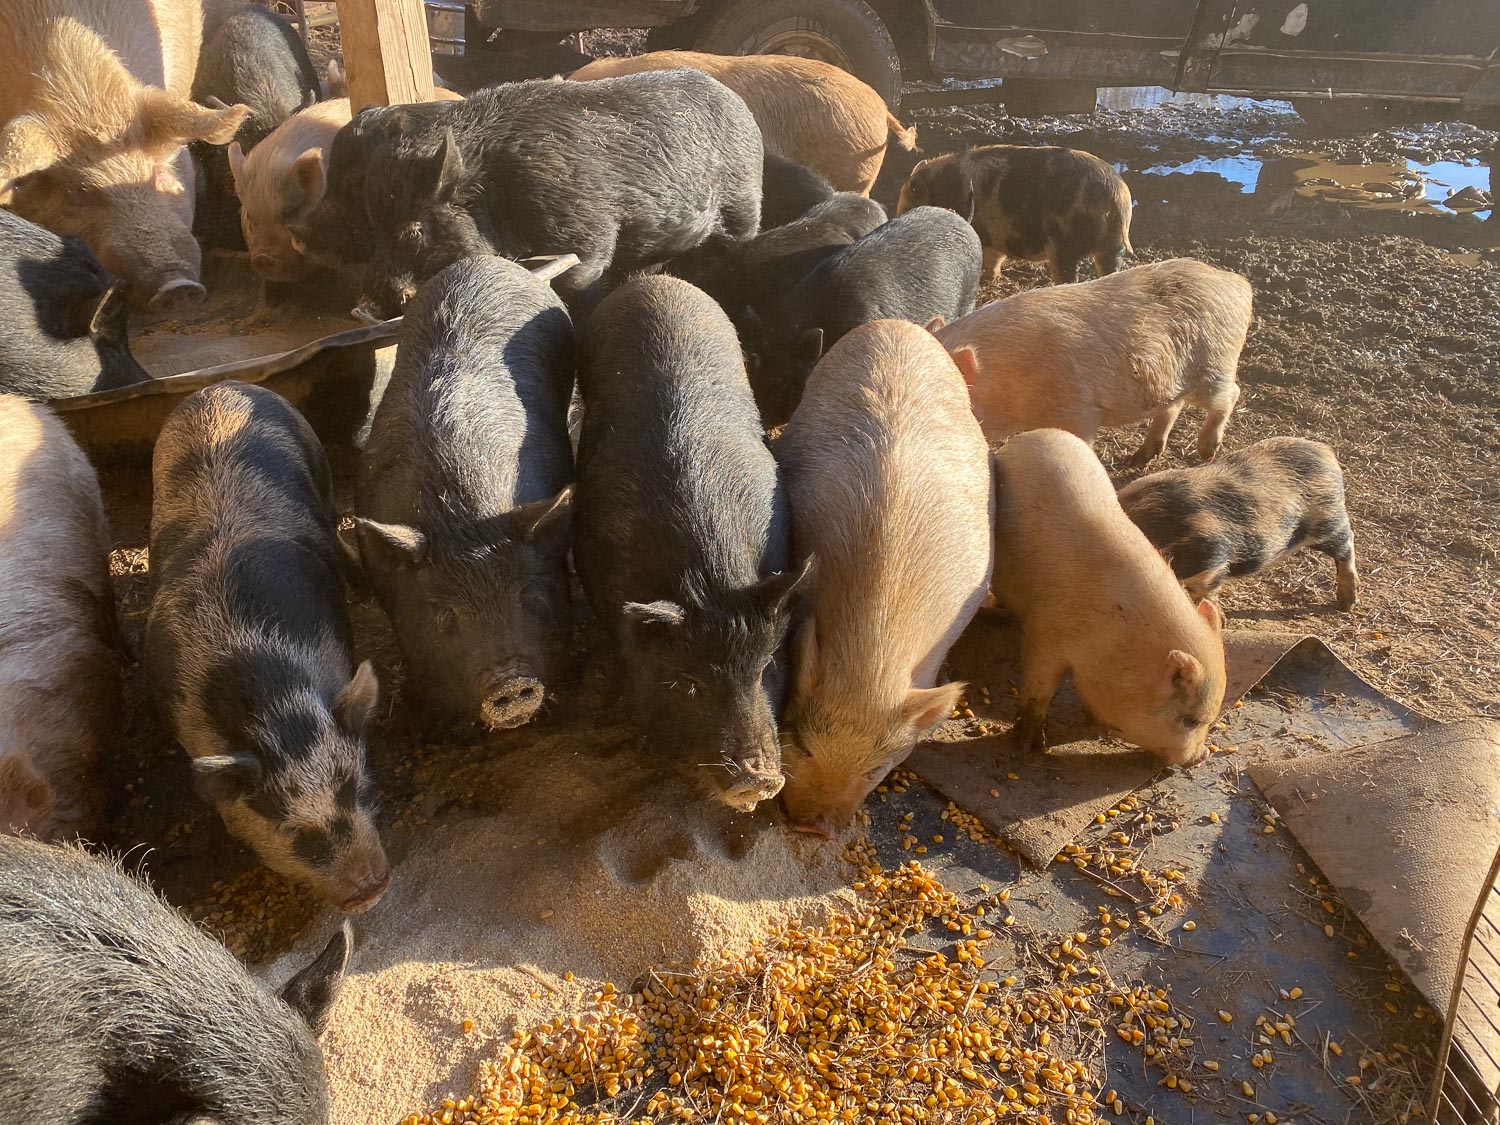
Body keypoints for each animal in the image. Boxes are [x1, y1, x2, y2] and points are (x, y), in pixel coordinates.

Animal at [356, 70, 763, 316]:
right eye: (374, 229)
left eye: (414, 231)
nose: (374, 301)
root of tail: (742, 107)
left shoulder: (587, 232)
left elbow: (580, 275)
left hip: (743, 202)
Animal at [896, 144, 1133, 284]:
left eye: (908, 207)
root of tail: (1116, 197)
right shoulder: (995, 238)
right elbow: (995, 259)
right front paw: (991, 278)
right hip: (1112, 246)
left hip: (1063, 243)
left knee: (1068, 275)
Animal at [937, 257, 1253, 466]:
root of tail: (1237, 283)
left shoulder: (1080, 409)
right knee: (1172, 406)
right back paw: (1139, 458)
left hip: (1216, 364)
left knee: (1230, 395)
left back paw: (1207, 453)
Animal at [992, 428, 1227, 766]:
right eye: (1189, 720)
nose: (1203, 755)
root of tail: (1038, 432)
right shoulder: (1045, 634)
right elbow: (1040, 685)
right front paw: (1029, 747)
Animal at [1117, 437, 1359, 610]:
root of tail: (1325, 452)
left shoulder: (1210, 556)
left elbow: (1205, 589)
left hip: (1328, 520)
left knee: (1347, 544)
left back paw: (1346, 604)